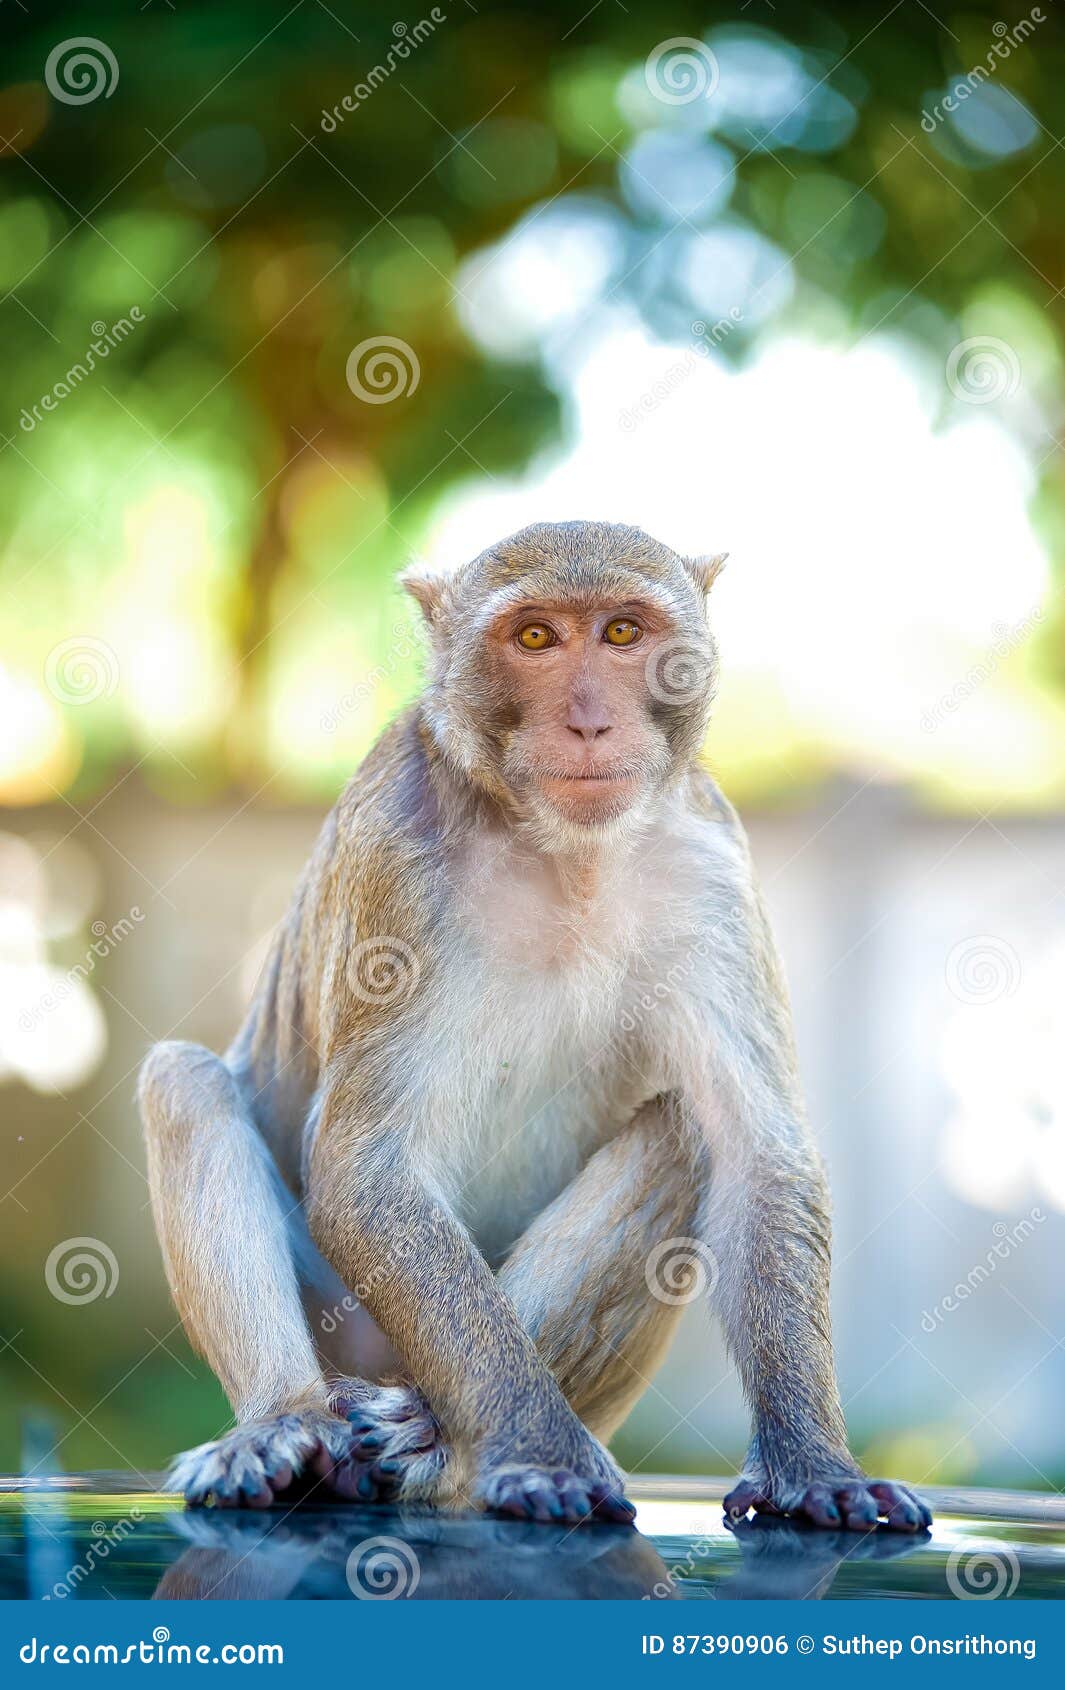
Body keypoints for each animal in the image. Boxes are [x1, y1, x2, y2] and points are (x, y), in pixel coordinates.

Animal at [139, 519, 931, 1533]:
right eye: (535, 639)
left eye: (623, 633)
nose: (589, 722)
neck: (564, 854)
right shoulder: (396, 856)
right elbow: (365, 1168)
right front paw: (539, 1451)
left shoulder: (710, 867)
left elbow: (758, 1155)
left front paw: (813, 1464)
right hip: (345, 1326)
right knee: (182, 1082)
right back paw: (288, 1430)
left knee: (680, 1135)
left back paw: (424, 1435)